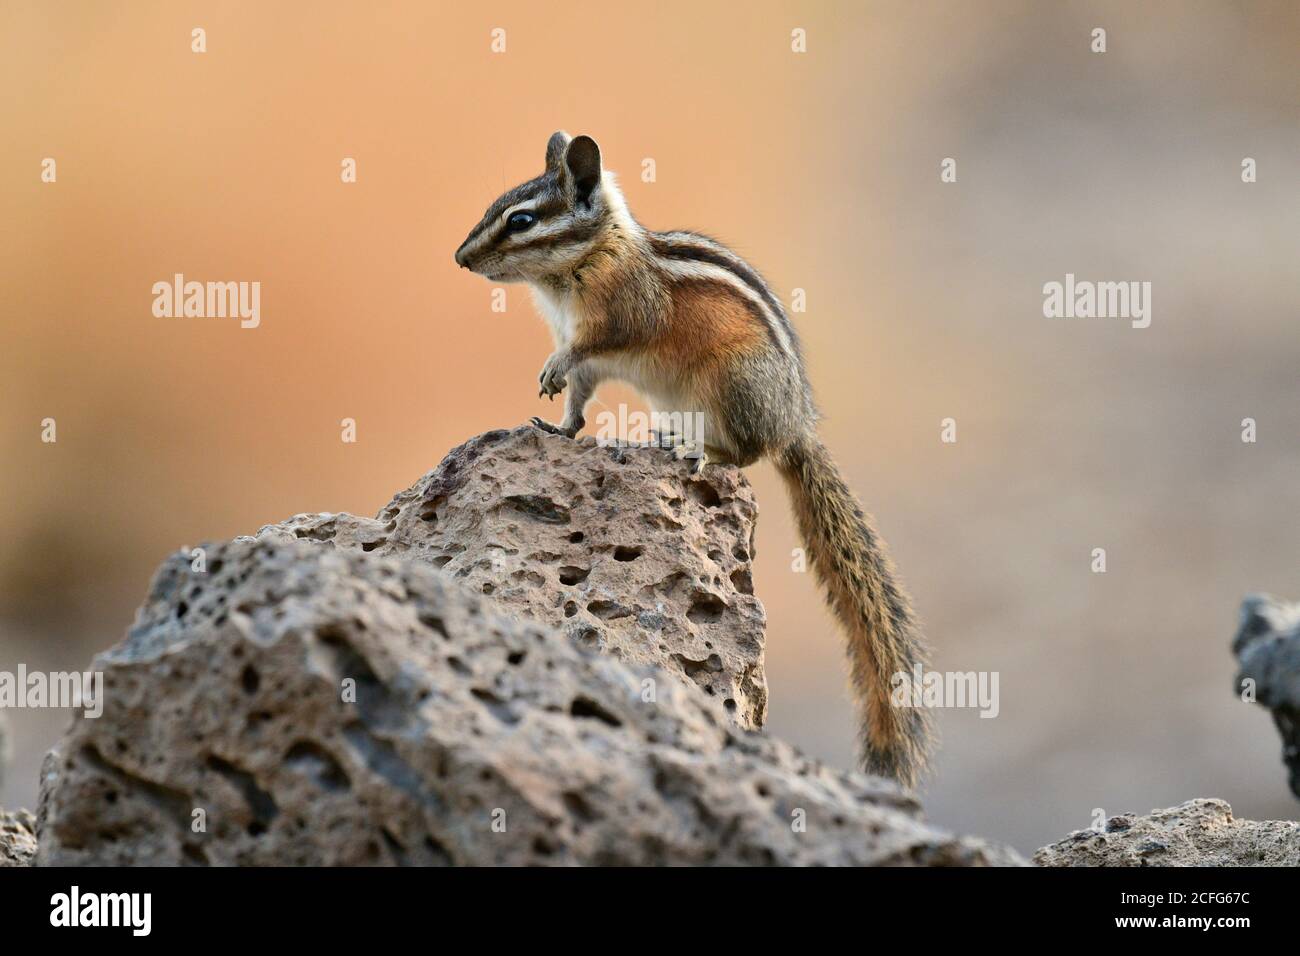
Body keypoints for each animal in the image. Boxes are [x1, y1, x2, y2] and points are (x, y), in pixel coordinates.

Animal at [454, 131, 933, 788]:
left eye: (521, 220)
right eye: (495, 206)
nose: (460, 258)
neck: (583, 264)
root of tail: (795, 422)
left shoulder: (618, 320)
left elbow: (586, 349)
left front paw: (552, 372)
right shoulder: (592, 358)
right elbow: (580, 395)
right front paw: (560, 426)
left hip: (729, 386)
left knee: (745, 454)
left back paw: (698, 453)